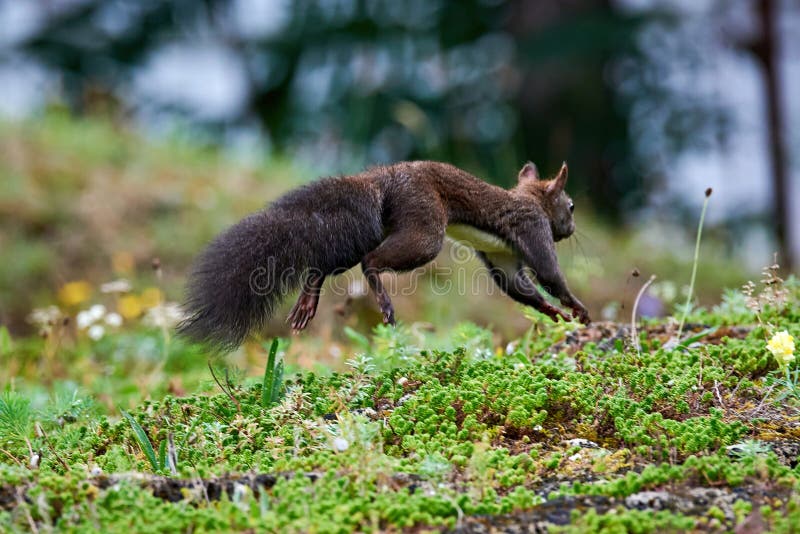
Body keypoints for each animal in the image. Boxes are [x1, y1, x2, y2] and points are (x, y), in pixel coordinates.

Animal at [177, 160, 590, 349]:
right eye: (570, 205)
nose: (572, 229)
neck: (528, 198)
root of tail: (384, 177)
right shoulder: (533, 228)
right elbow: (549, 273)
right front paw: (577, 309)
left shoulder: (501, 256)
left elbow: (520, 287)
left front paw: (553, 312)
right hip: (425, 230)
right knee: (370, 261)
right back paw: (385, 303)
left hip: (371, 231)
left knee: (328, 262)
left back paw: (308, 300)